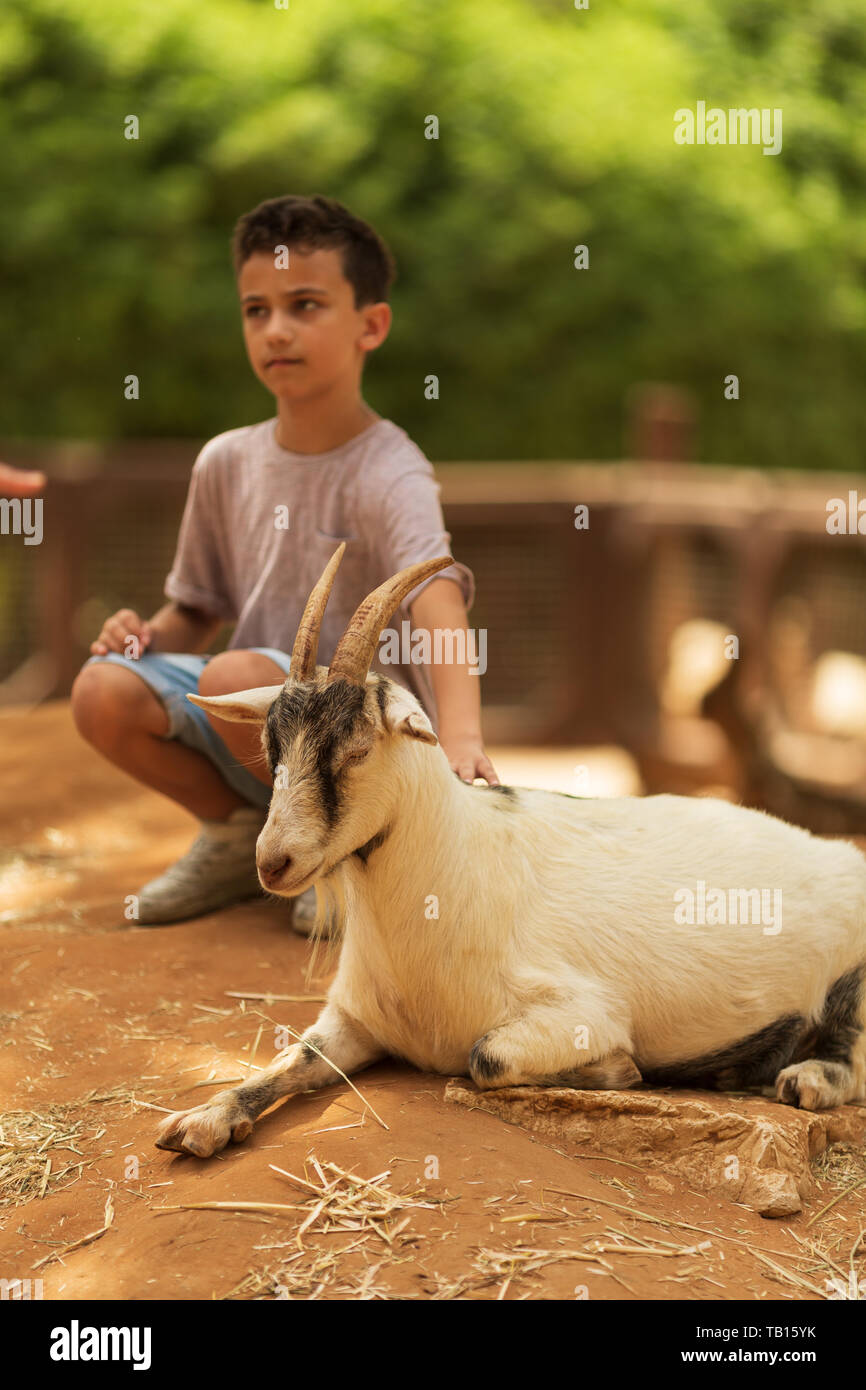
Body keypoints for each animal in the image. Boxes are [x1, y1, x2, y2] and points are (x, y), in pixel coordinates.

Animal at [155, 546, 866, 1158]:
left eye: (355, 748)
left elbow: (486, 1057)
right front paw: (203, 1120)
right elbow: (294, 1058)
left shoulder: (579, 1013)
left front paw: (620, 1071)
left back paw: (792, 1077)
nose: (272, 862)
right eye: (271, 747)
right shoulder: (353, 1019)